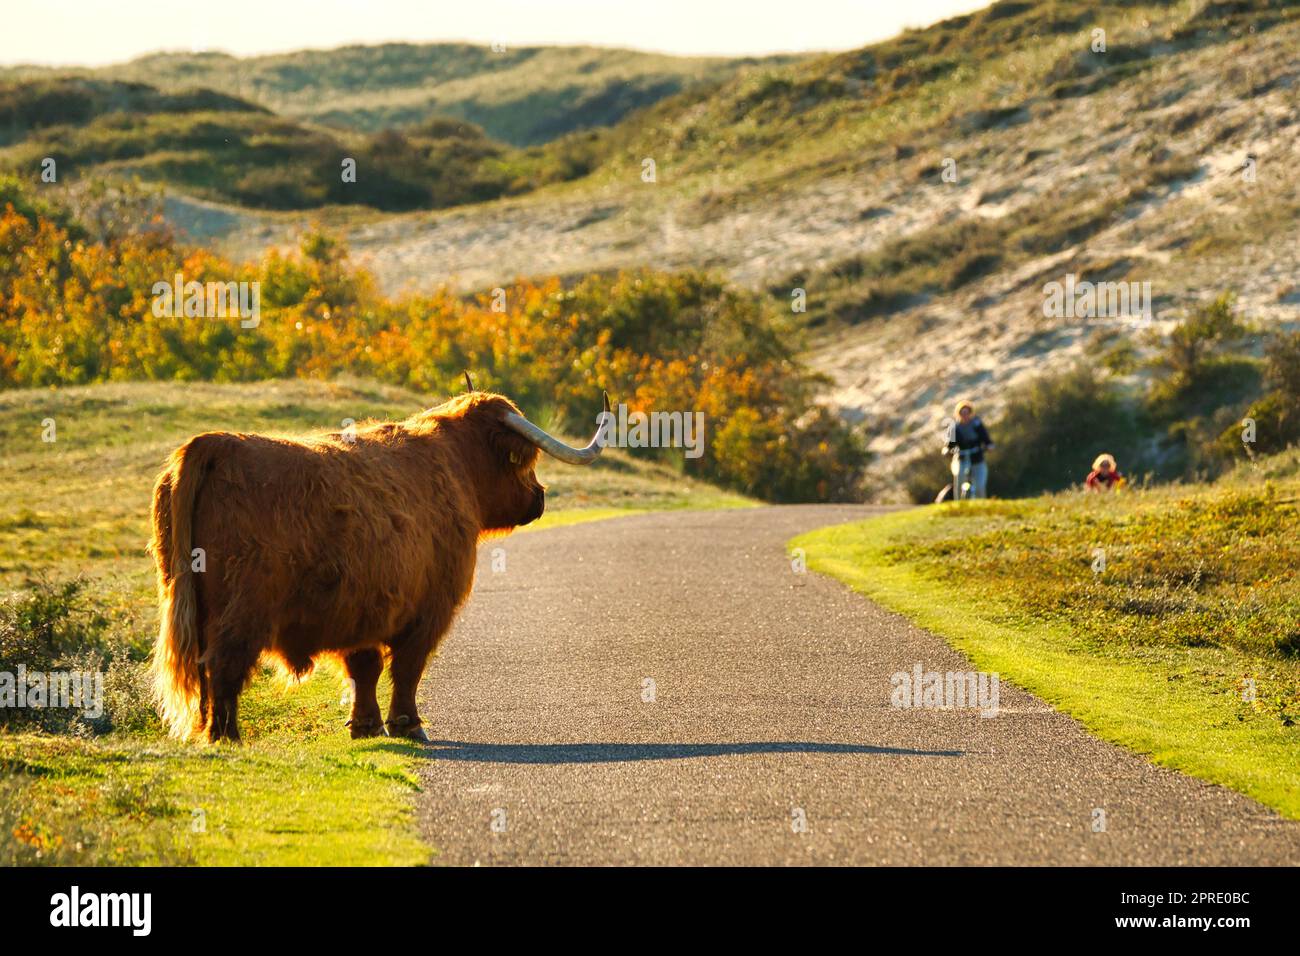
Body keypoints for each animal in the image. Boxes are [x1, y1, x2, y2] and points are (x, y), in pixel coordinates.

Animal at [148, 379, 609, 743]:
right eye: (524, 462)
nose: (540, 497)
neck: (456, 466)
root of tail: (215, 443)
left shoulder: (363, 608)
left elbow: (364, 667)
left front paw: (366, 725)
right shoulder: (430, 609)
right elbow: (407, 667)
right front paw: (408, 724)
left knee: (208, 672)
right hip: (241, 611)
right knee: (224, 667)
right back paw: (226, 736)